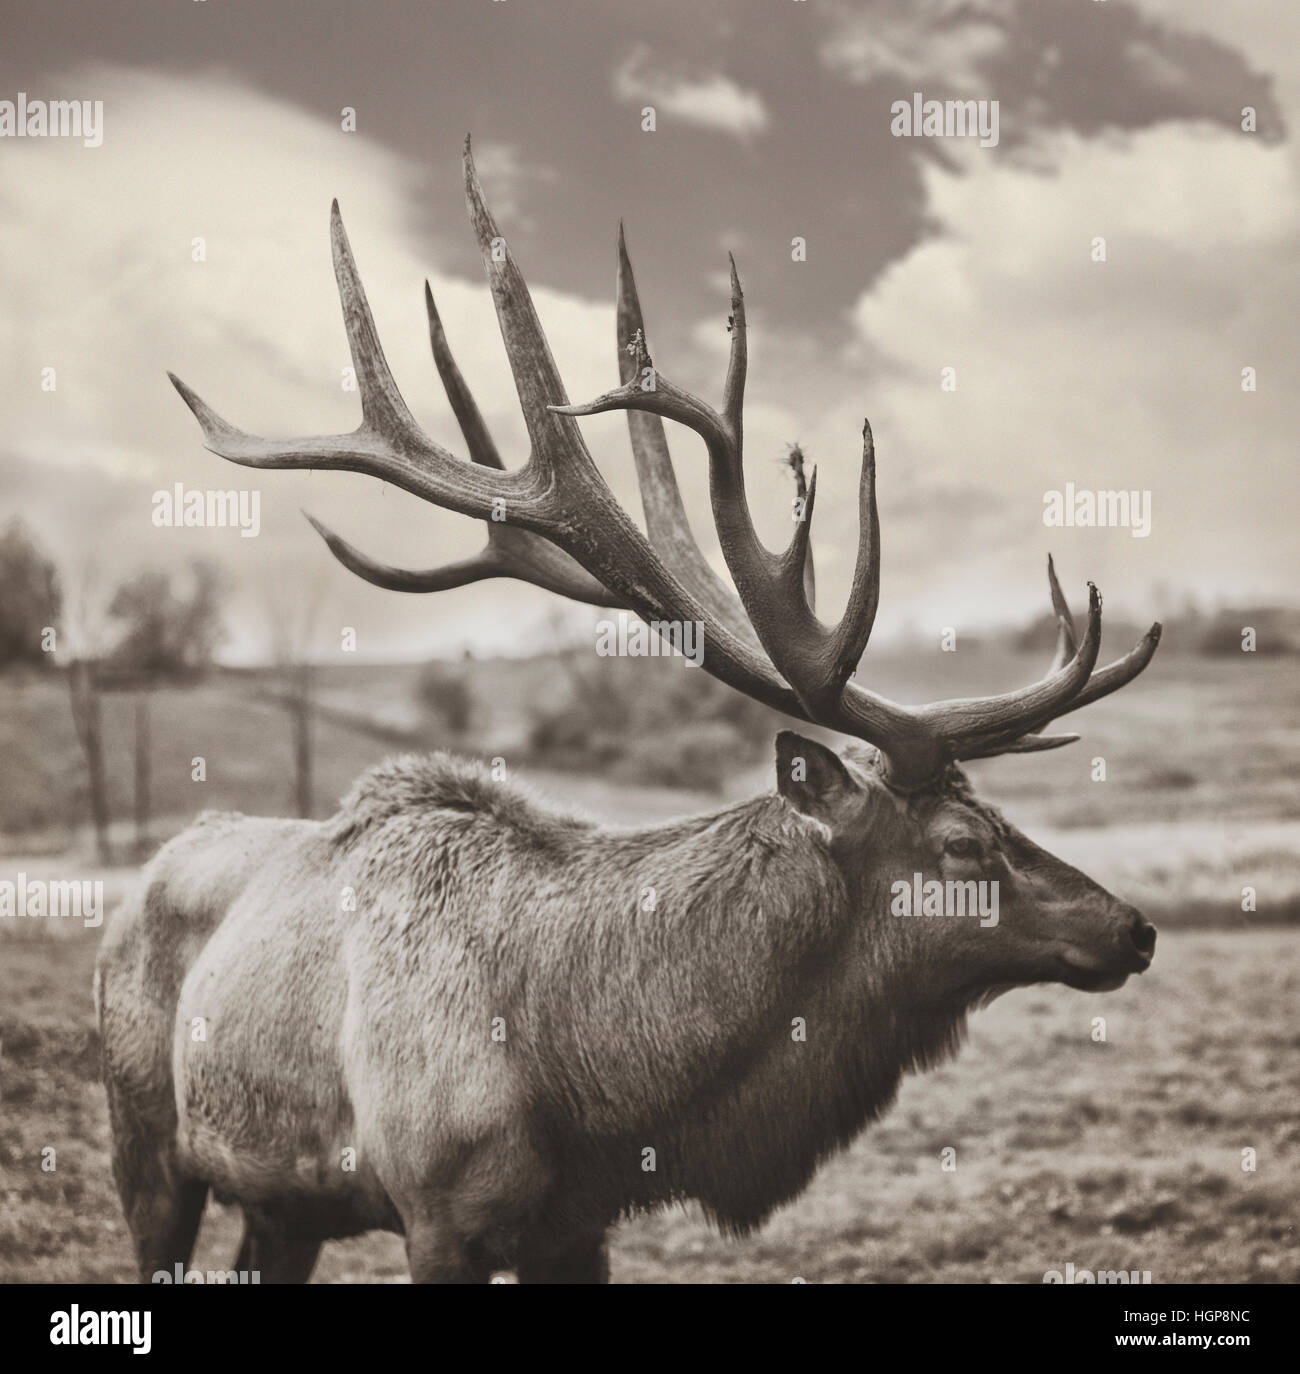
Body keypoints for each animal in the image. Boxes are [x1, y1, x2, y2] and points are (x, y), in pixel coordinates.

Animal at [96, 139, 1162, 1284]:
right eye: (965, 841)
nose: (1135, 928)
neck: (597, 1087)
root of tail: (141, 880)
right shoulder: (435, 1211)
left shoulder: (579, 1225)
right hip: (144, 1139)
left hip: (283, 1201)